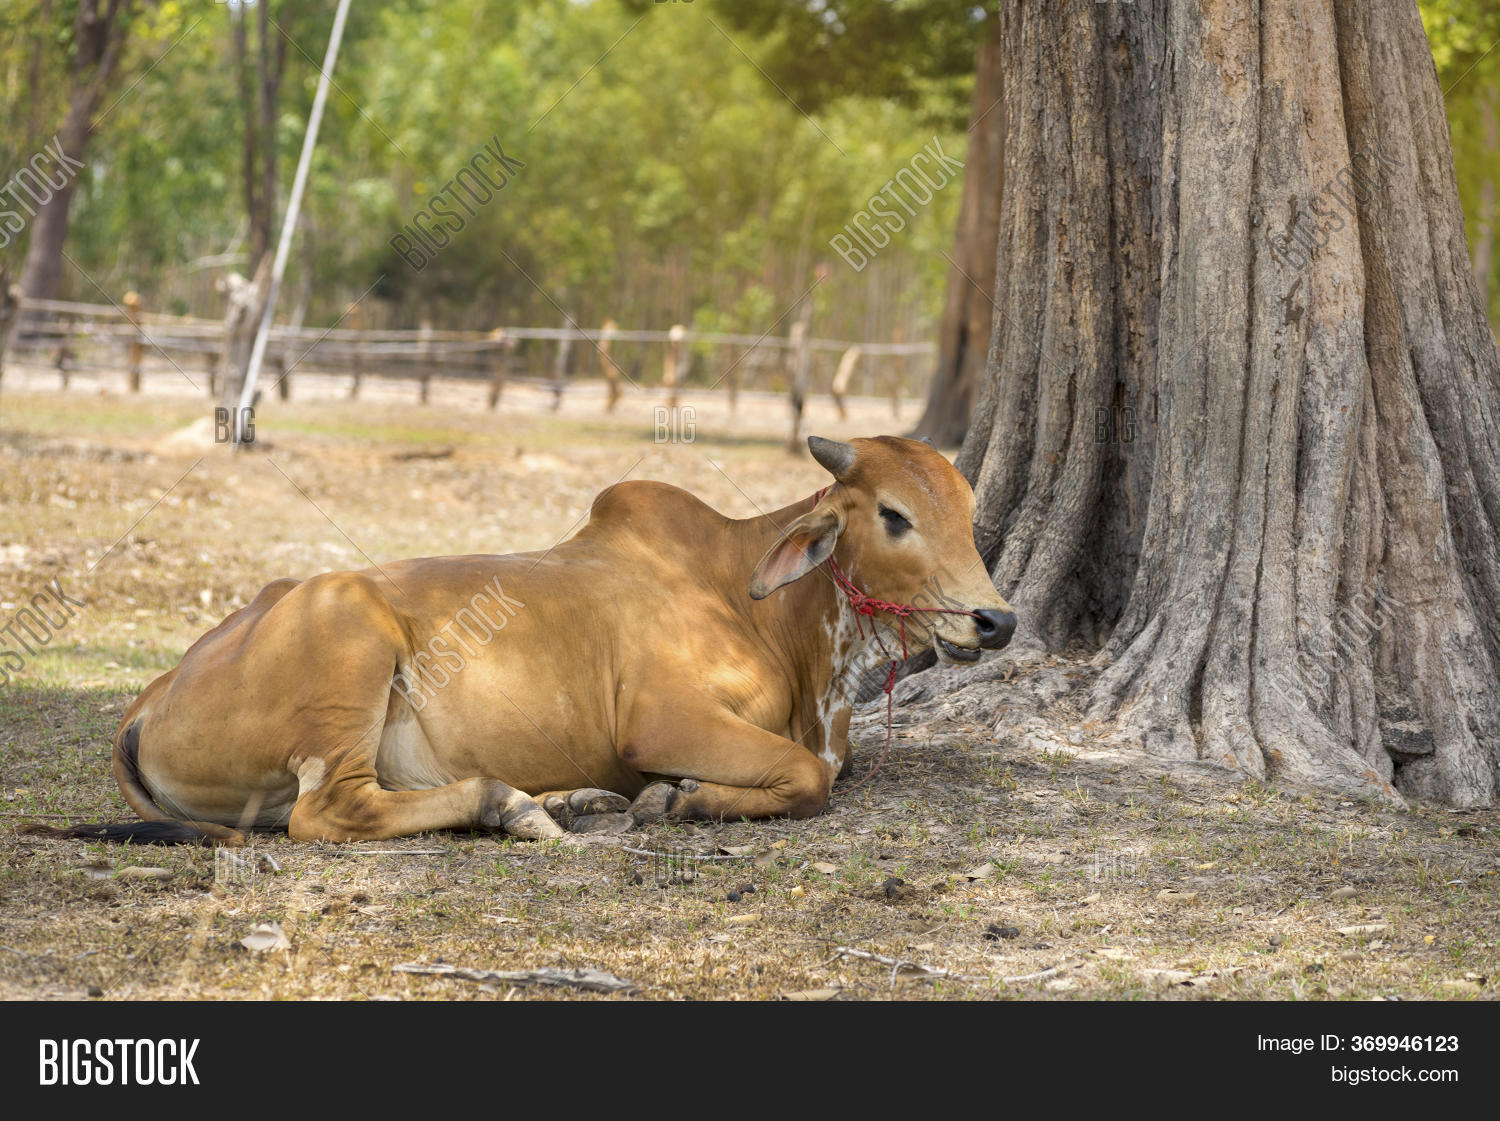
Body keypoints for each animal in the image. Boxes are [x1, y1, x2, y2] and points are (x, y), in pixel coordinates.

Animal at [38, 435, 1015, 846]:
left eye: (967, 505)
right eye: (892, 514)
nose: (995, 619)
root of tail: (153, 691)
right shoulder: (661, 719)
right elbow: (807, 776)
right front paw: (683, 798)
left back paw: (574, 798)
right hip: (348, 635)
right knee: (329, 812)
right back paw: (511, 805)